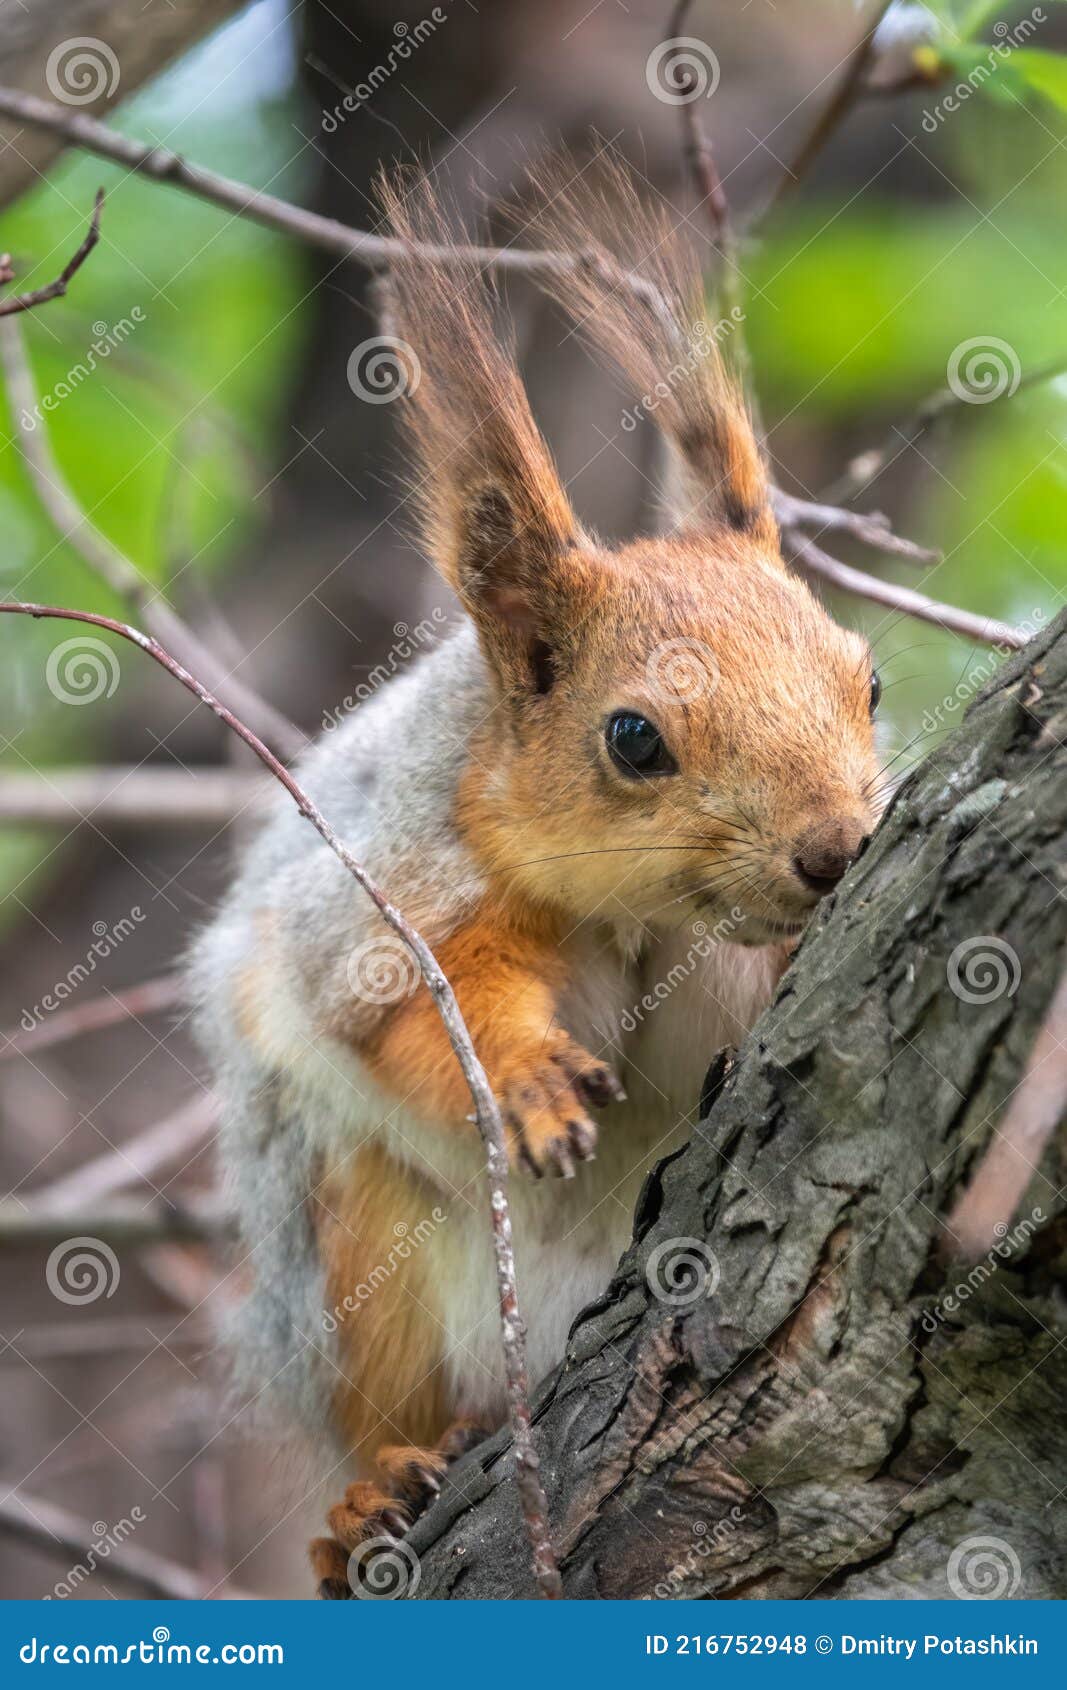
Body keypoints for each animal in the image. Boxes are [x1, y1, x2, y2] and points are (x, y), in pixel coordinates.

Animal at [189, 158, 883, 1598]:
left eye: (869, 681)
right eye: (633, 738)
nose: (832, 844)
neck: (646, 918)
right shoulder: (391, 892)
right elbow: (407, 1011)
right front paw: (525, 1082)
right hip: (355, 1260)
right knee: (381, 1394)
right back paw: (372, 1495)